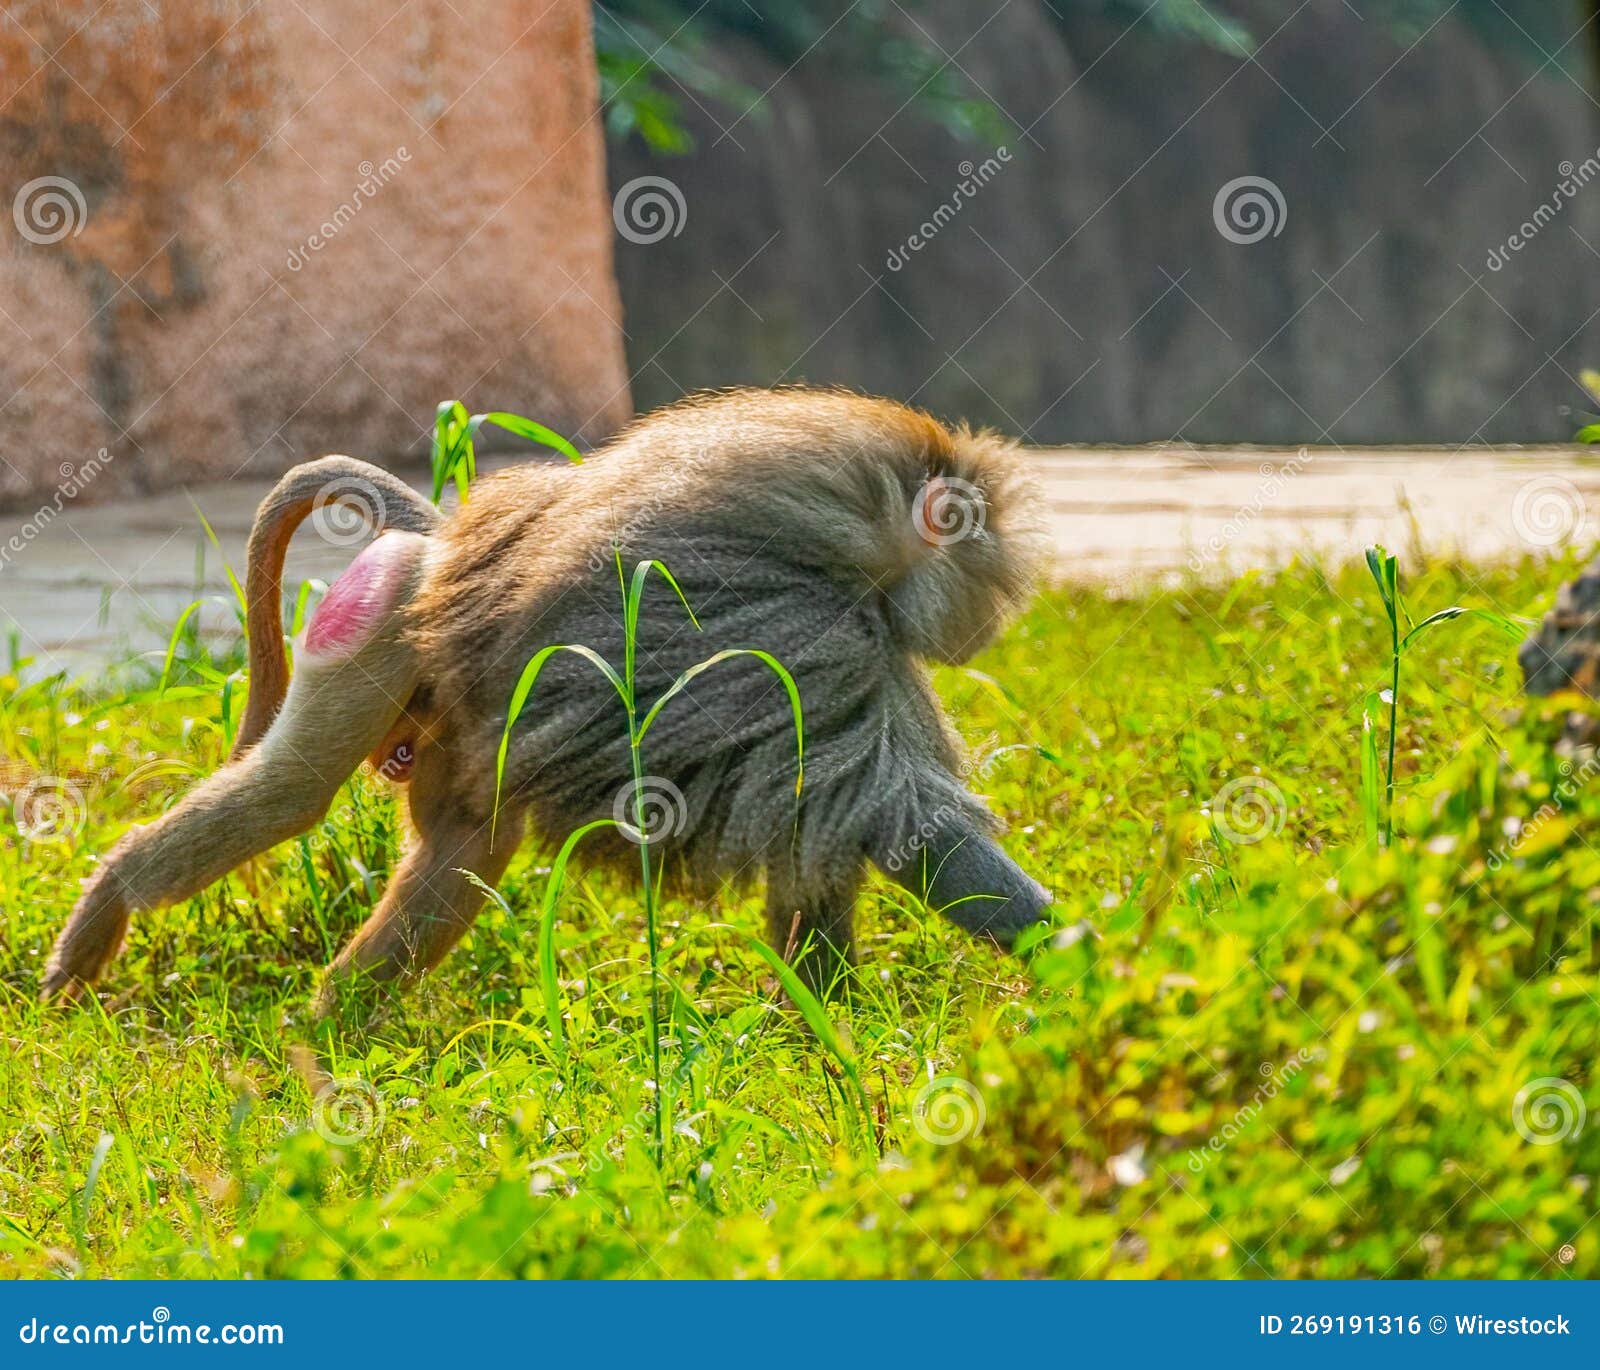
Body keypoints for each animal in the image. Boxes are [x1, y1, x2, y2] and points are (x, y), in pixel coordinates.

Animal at [42, 387, 1053, 1011]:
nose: (977, 629)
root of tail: (437, 540)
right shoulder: (807, 638)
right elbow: (898, 823)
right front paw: (1079, 961)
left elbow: (833, 825)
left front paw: (823, 1028)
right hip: (376, 623)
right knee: (296, 792)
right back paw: (113, 905)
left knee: (465, 847)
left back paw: (330, 1033)